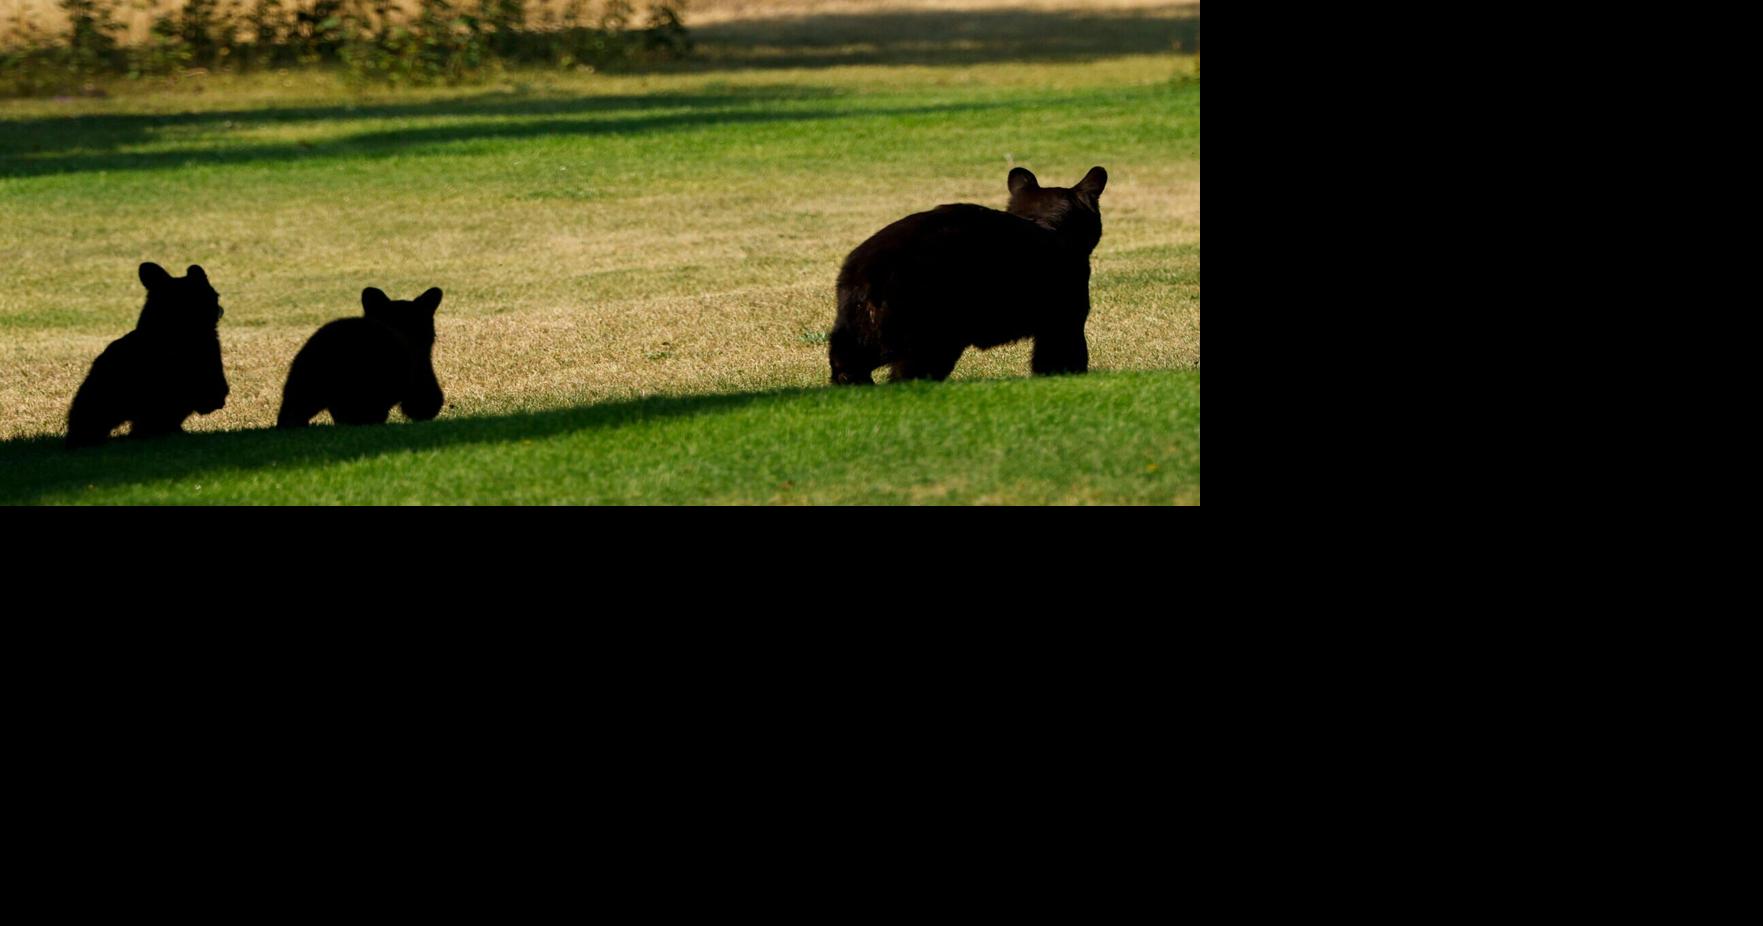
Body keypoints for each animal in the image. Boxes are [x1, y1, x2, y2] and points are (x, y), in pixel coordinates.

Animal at [828, 166, 1108, 384]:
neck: (1048, 224)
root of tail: (867, 271)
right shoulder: (1066, 303)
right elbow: (1061, 346)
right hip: (931, 316)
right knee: (917, 362)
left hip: (861, 318)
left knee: (849, 352)